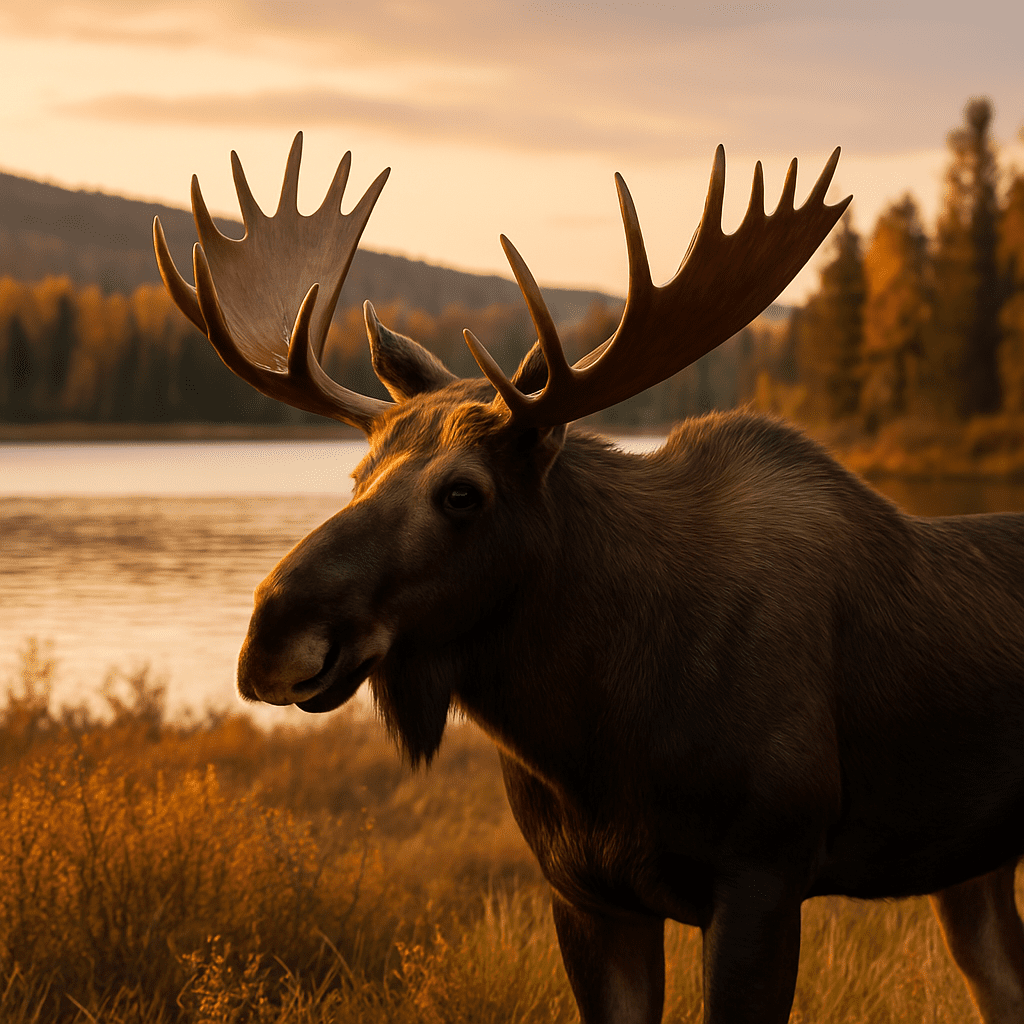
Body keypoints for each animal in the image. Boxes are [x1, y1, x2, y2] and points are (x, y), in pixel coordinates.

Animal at [153, 133, 1024, 1024]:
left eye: (464, 492)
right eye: (358, 473)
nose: (272, 633)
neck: (596, 741)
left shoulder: (765, 871)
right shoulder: (583, 891)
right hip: (974, 868)